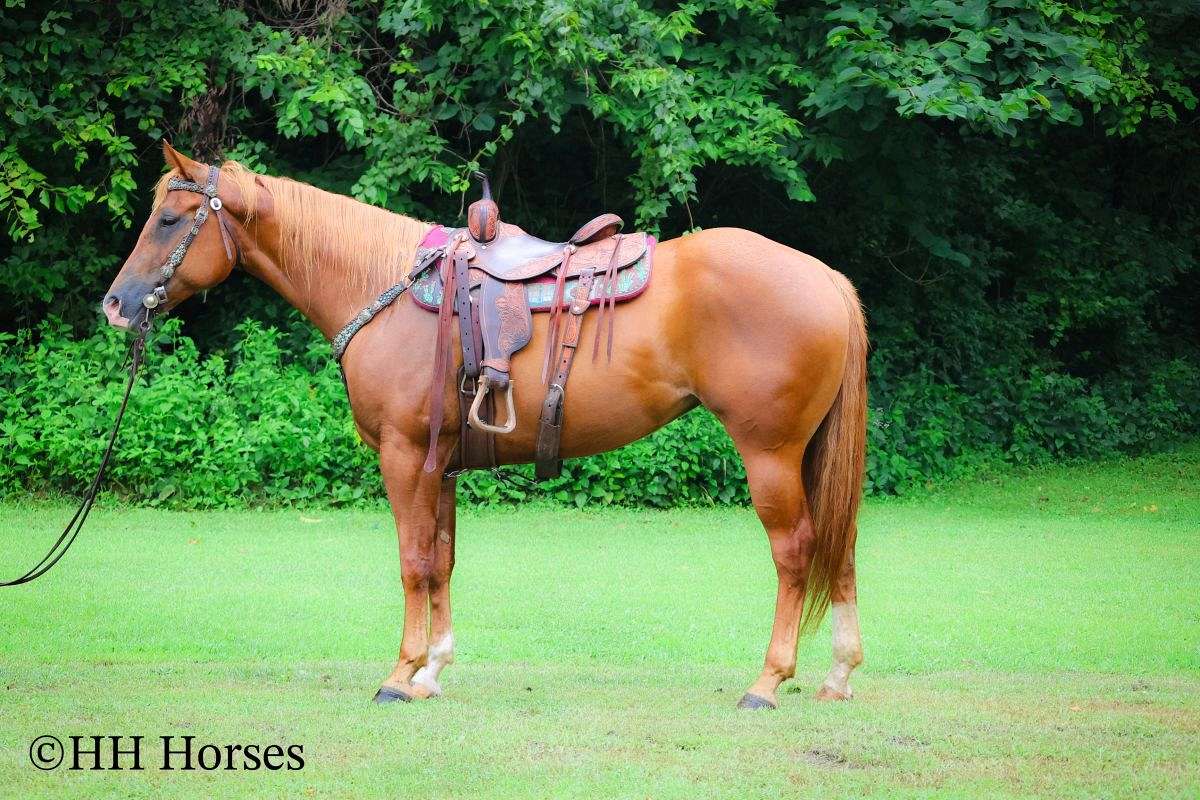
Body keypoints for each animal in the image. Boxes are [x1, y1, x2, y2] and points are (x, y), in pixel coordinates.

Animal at [101, 142, 867, 710]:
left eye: (169, 221)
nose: (116, 305)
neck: (386, 288)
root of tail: (825, 278)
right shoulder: (437, 461)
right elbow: (440, 560)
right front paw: (432, 671)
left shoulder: (404, 456)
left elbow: (412, 562)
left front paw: (399, 674)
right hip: (807, 455)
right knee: (840, 547)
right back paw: (837, 674)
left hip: (770, 452)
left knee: (797, 550)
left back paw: (768, 682)